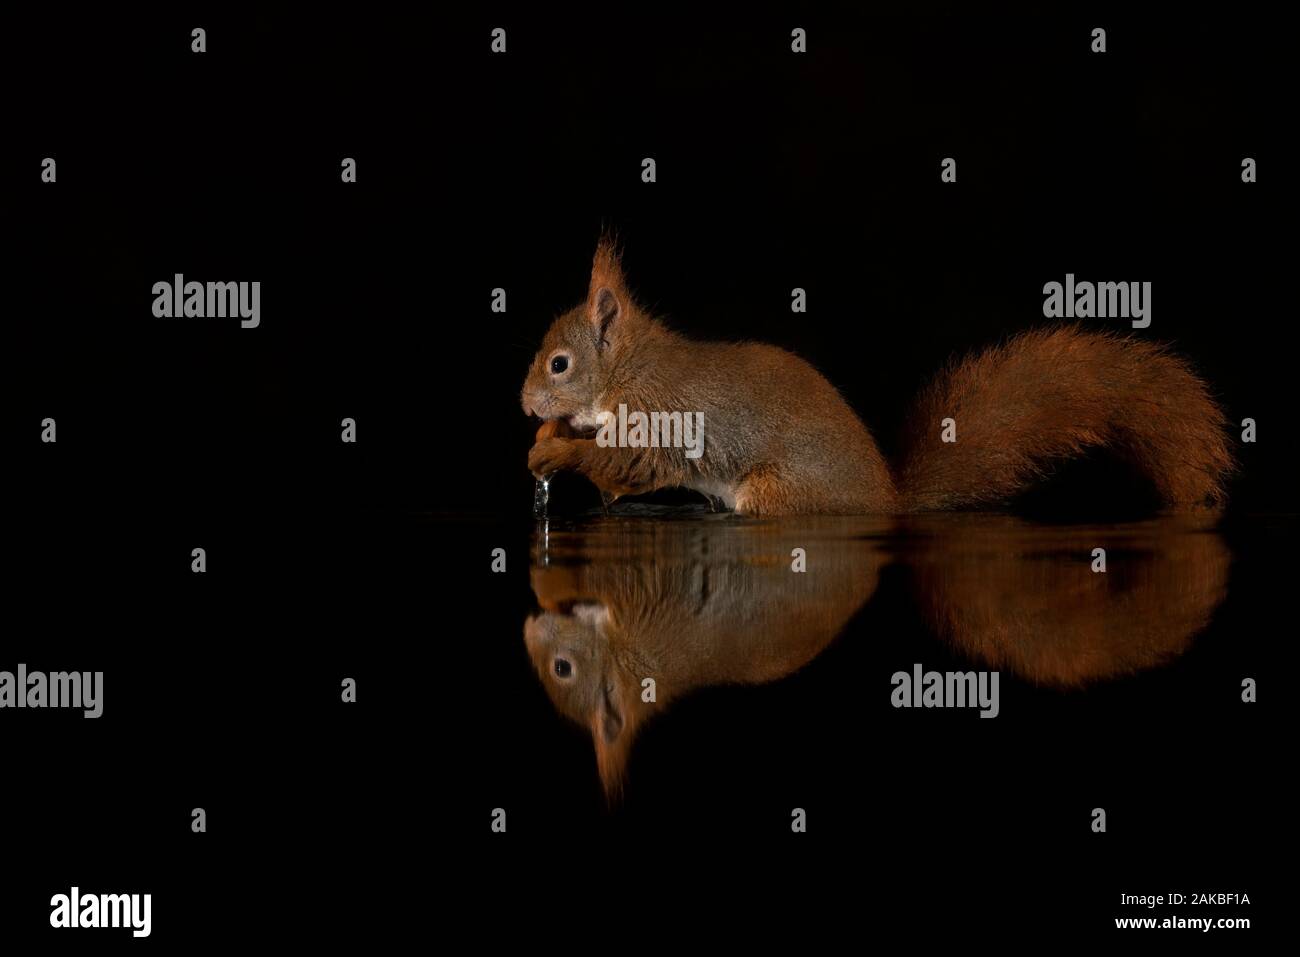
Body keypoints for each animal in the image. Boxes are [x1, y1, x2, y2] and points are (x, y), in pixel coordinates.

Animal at [521, 238, 1234, 515]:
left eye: (559, 363)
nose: (525, 405)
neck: (627, 368)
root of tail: (886, 499)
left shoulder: (658, 416)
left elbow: (627, 466)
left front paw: (555, 451)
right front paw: (547, 440)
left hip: (777, 495)